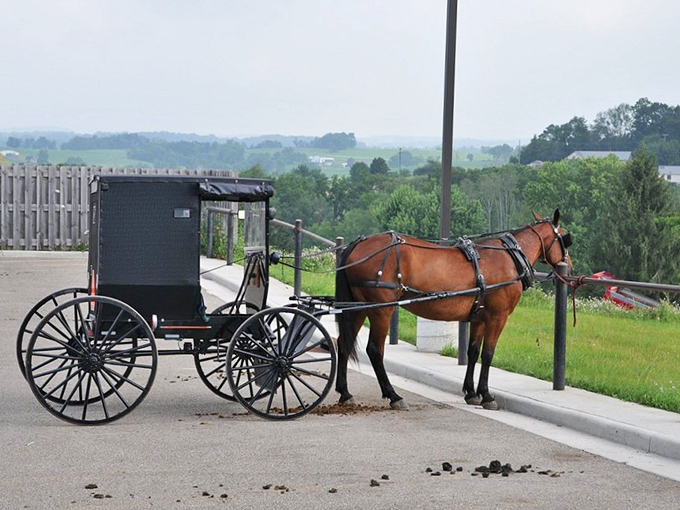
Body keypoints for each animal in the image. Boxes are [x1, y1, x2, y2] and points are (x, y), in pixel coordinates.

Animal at [334, 209, 572, 411]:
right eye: (565, 238)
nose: (569, 266)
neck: (511, 258)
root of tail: (358, 245)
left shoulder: (479, 317)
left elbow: (473, 351)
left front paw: (471, 393)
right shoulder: (497, 316)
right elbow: (488, 353)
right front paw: (487, 395)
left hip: (357, 309)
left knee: (343, 344)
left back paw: (345, 393)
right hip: (381, 310)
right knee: (375, 350)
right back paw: (394, 396)